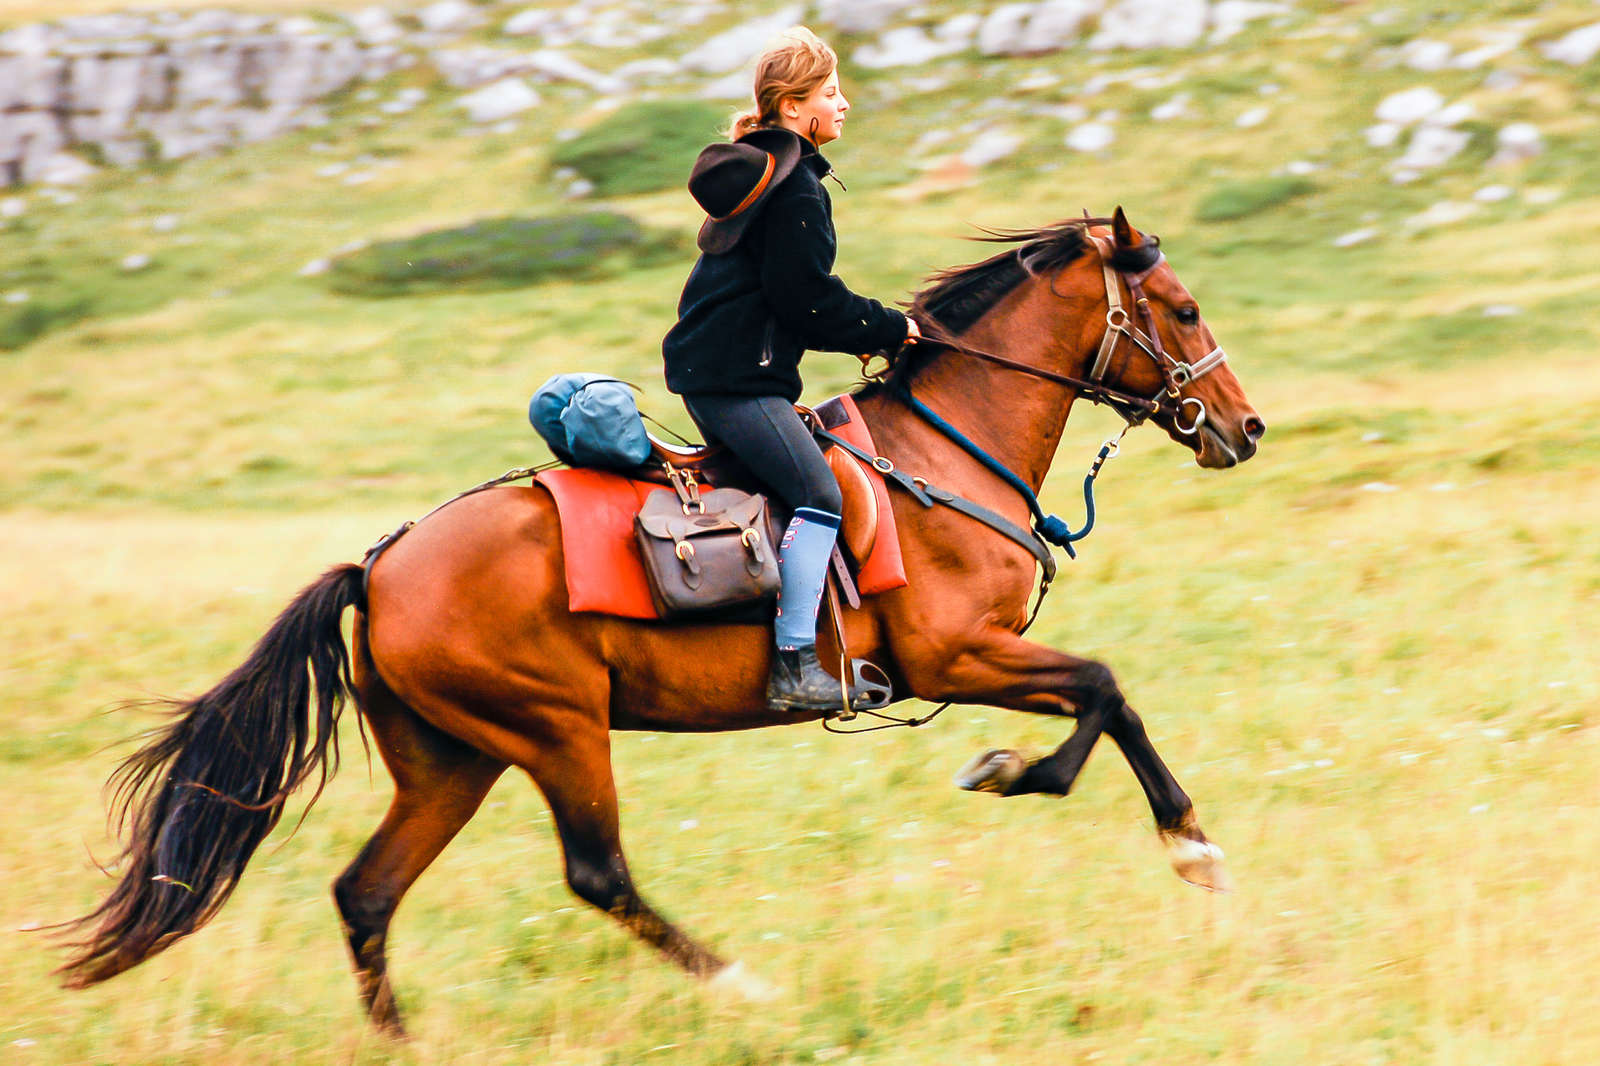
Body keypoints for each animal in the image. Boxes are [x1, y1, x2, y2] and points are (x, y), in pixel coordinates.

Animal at [57, 208, 1265, 1034]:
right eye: (1185, 309)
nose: (1244, 428)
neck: (943, 450)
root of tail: (382, 564)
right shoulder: (957, 655)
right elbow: (1103, 690)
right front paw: (1104, 809)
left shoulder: (975, 658)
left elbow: (1108, 698)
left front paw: (1160, 832)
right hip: (553, 732)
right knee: (598, 876)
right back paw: (744, 982)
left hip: (451, 760)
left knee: (367, 892)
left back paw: (404, 1042)